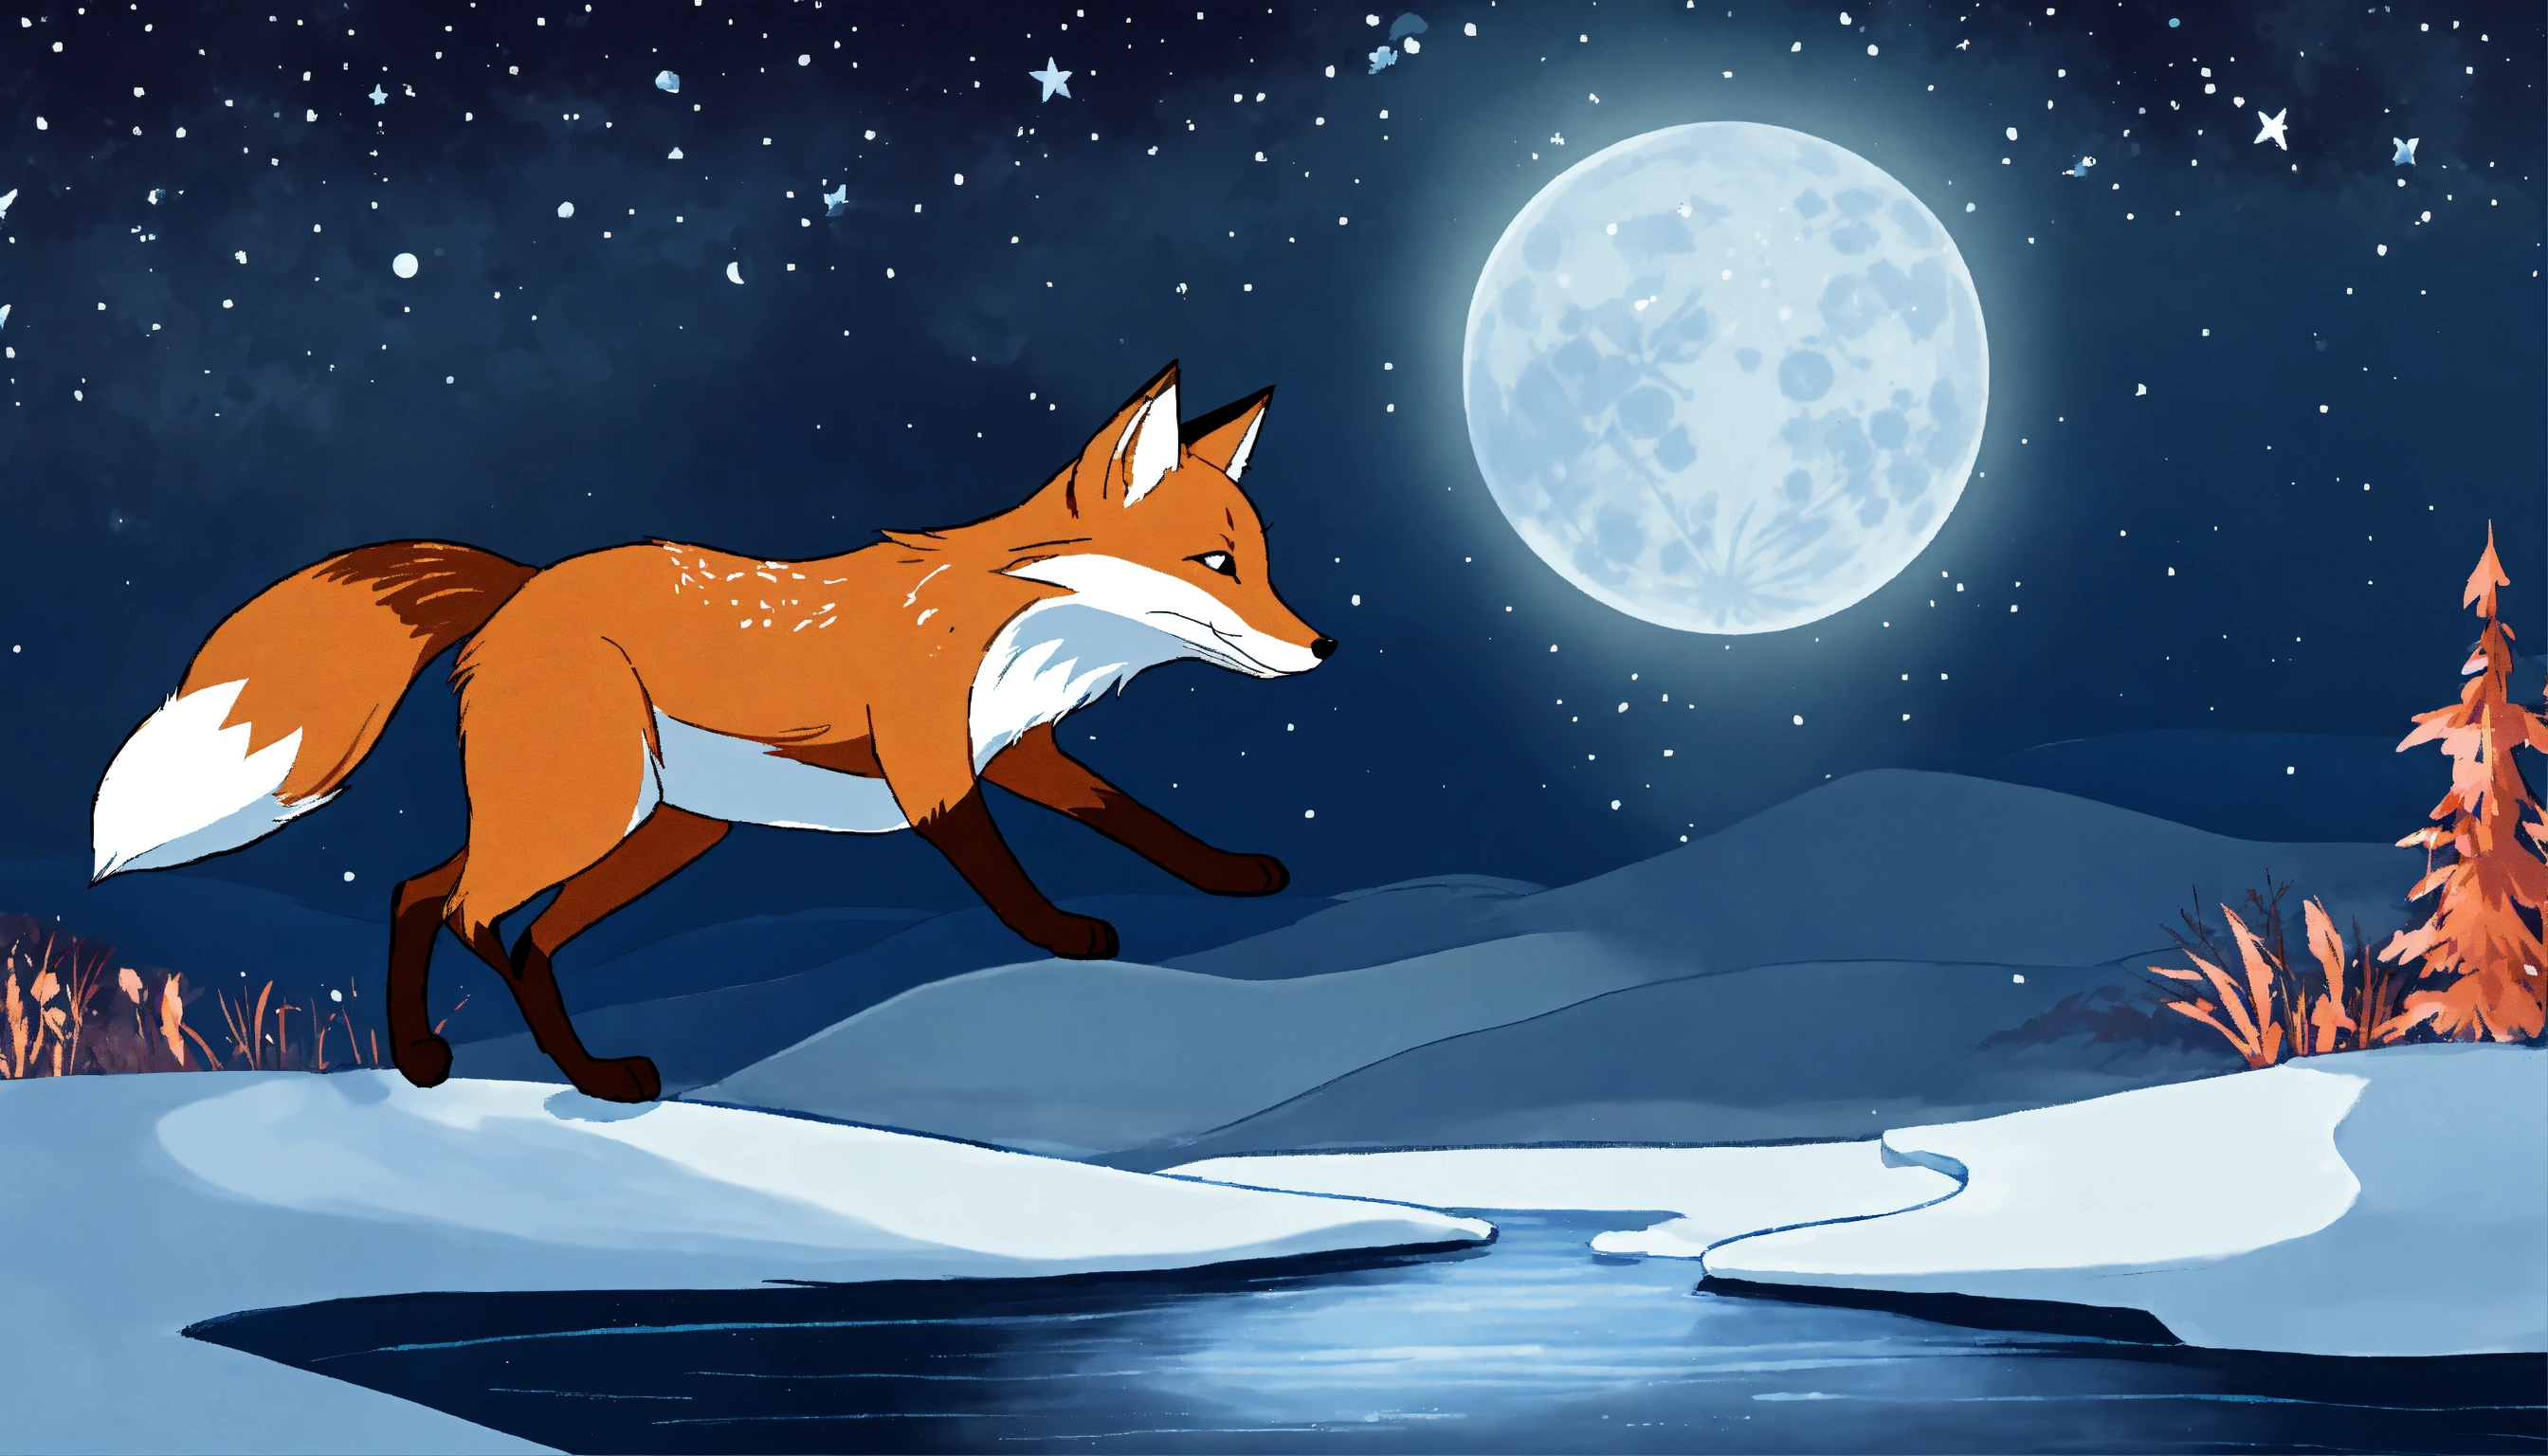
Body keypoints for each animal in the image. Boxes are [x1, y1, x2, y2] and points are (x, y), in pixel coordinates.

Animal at [89, 362, 1332, 1102]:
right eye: (1214, 563)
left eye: (1263, 564)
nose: (1321, 648)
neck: (1018, 625)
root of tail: (523, 582)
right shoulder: (932, 768)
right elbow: (1002, 872)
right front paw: (1066, 934)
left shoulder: (1018, 753)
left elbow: (1137, 820)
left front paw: (1230, 874)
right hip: (589, 813)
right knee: (474, 914)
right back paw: (584, 1075)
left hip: (655, 829)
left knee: (442, 901)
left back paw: (437, 1060)